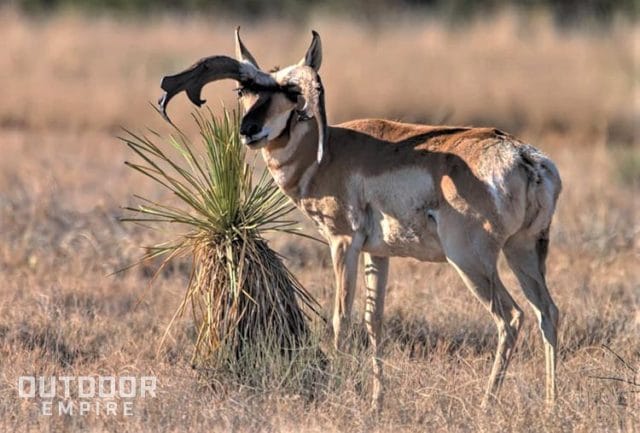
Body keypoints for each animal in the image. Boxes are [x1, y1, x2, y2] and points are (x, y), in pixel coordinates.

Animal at [158, 29, 562, 412]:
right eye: (243, 89)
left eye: (291, 91)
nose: (249, 130)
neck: (328, 151)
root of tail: (524, 156)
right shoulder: (377, 254)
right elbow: (374, 322)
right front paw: (376, 401)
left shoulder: (342, 242)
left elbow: (341, 317)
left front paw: (338, 393)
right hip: (524, 253)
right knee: (548, 313)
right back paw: (550, 406)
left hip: (471, 262)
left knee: (510, 318)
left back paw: (486, 403)